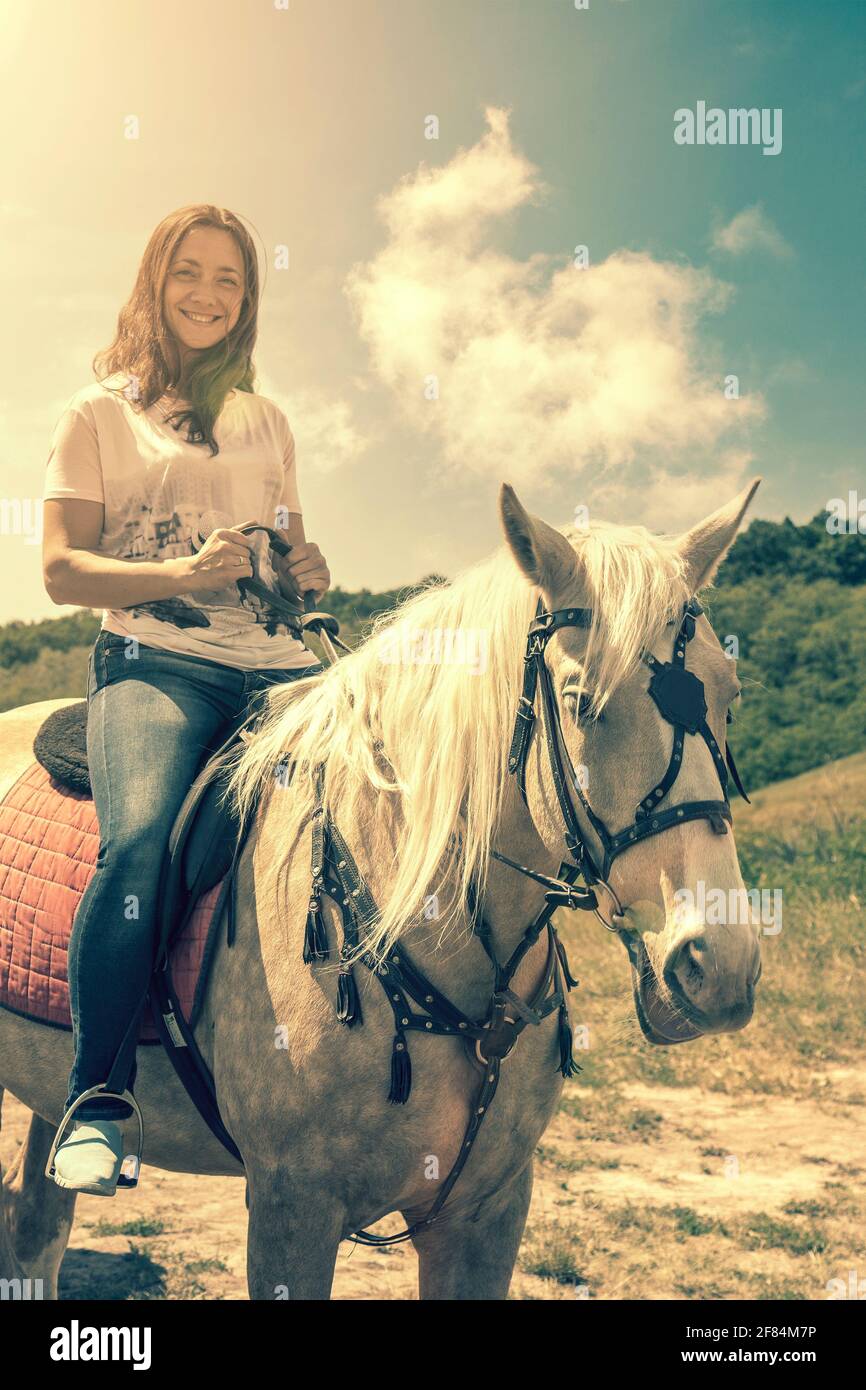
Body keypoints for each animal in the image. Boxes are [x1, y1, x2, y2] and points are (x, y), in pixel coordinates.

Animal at [0, 480, 762, 1300]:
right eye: (583, 703)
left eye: (729, 696)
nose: (719, 969)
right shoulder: (293, 1206)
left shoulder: (488, 1211)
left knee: (35, 1219)